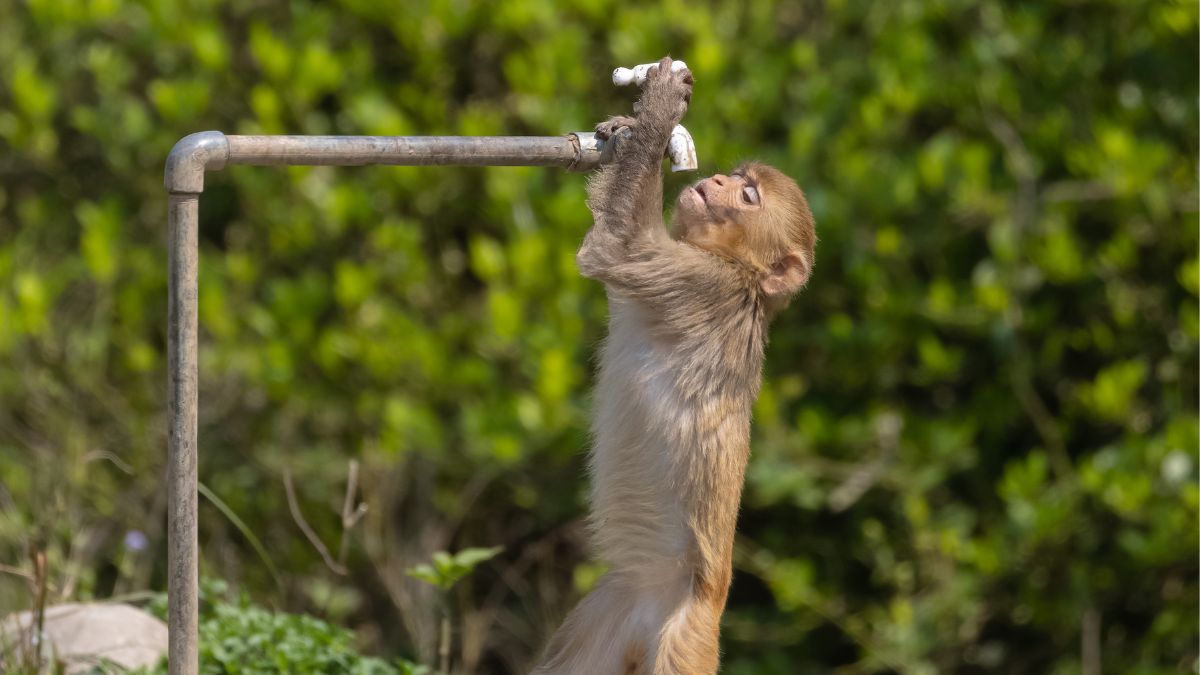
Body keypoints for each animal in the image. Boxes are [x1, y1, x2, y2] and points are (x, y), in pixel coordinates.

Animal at [532, 57, 816, 675]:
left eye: (748, 194)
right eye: (735, 176)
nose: (717, 182)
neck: (742, 275)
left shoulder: (703, 283)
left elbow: (616, 248)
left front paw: (659, 110)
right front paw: (628, 126)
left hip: (684, 643)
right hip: (605, 620)